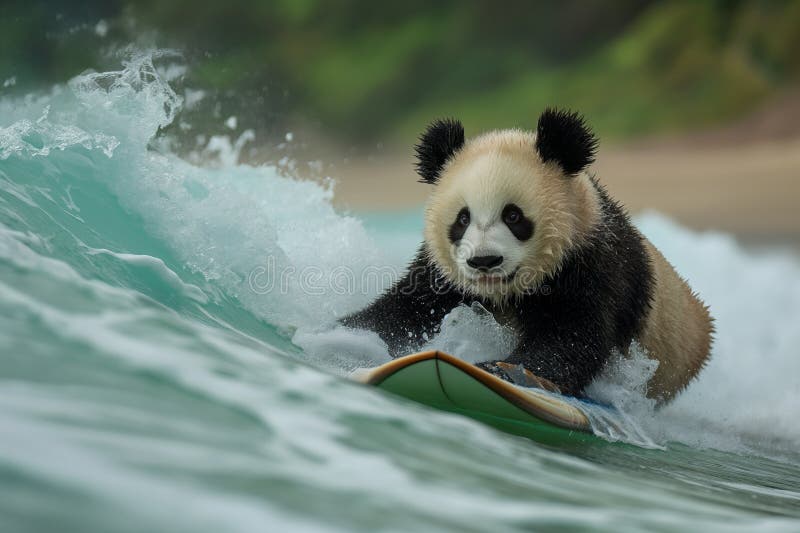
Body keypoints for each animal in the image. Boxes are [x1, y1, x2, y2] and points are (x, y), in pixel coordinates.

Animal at [342, 109, 714, 403]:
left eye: (513, 216)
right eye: (462, 219)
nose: (484, 261)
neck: (505, 294)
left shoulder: (594, 263)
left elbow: (572, 338)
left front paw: (501, 369)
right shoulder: (441, 276)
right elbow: (403, 308)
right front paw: (348, 335)